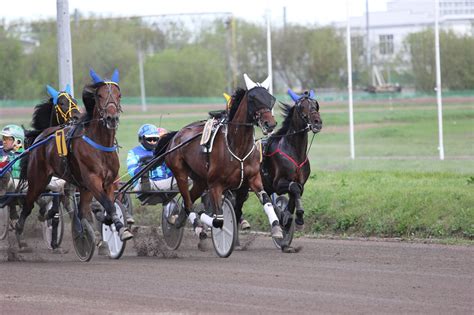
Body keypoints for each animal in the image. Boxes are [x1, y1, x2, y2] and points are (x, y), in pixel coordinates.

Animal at [16, 68, 133, 247]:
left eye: (118, 95)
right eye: (100, 95)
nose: (111, 118)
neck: (100, 145)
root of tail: (42, 135)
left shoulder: (108, 182)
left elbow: (109, 204)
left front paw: (112, 223)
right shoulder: (92, 180)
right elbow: (108, 205)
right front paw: (119, 228)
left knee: (80, 209)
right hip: (38, 179)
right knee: (28, 204)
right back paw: (20, 233)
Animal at [155, 74, 286, 244]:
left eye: (271, 98)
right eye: (253, 98)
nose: (270, 123)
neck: (237, 147)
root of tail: (176, 135)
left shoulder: (253, 179)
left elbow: (267, 202)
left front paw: (277, 228)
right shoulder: (216, 185)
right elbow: (218, 220)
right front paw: (208, 220)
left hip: (200, 180)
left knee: (187, 201)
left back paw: (178, 222)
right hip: (181, 173)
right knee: (188, 202)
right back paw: (196, 227)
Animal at [233, 90, 322, 253]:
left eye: (315, 105)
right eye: (302, 107)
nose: (317, 122)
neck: (294, 151)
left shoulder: (299, 183)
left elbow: (296, 193)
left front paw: (289, 220)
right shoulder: (278, 183)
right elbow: (294, 188)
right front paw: (292, 219)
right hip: (241, 189)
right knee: (236, 210)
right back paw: (235, 242)